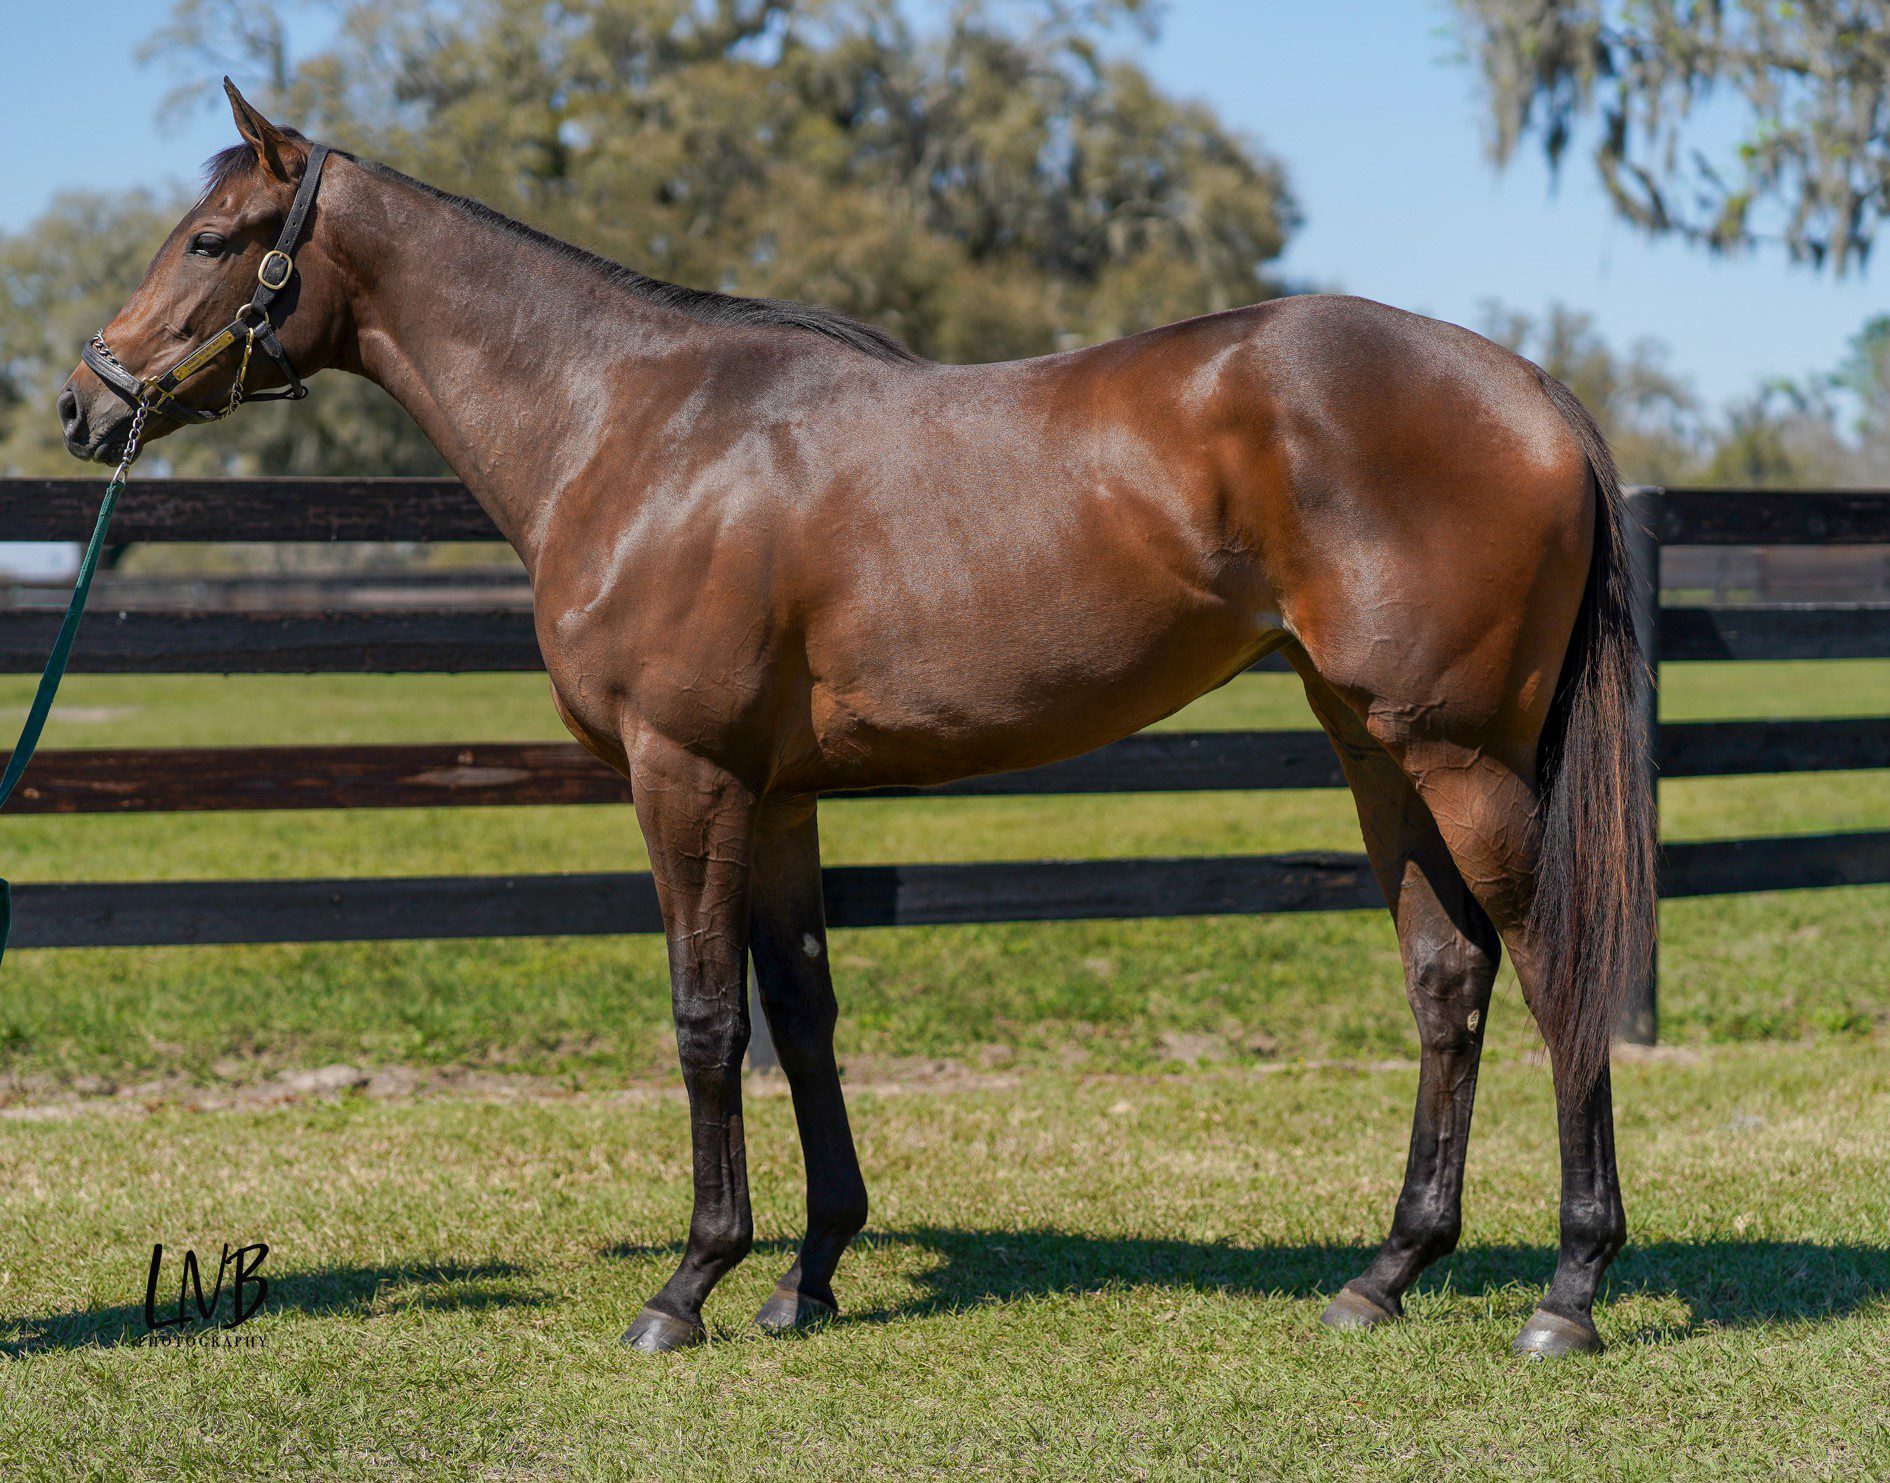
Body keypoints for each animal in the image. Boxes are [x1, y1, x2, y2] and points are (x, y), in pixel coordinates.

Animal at [58, 82, 1654, 1359]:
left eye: (212, 241)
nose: (85, 403)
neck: (632, 429)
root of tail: (1530, 387)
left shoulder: (684, 775)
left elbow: (707, 1018)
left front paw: (688, 1285)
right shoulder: (775, 795)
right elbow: (806, 1012)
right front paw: (807, 1273)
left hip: (1458, 755)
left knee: (1552, 968)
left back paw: (1568, 1292)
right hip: (1373, 743)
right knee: (1448, 979)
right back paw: (1384, 1274)